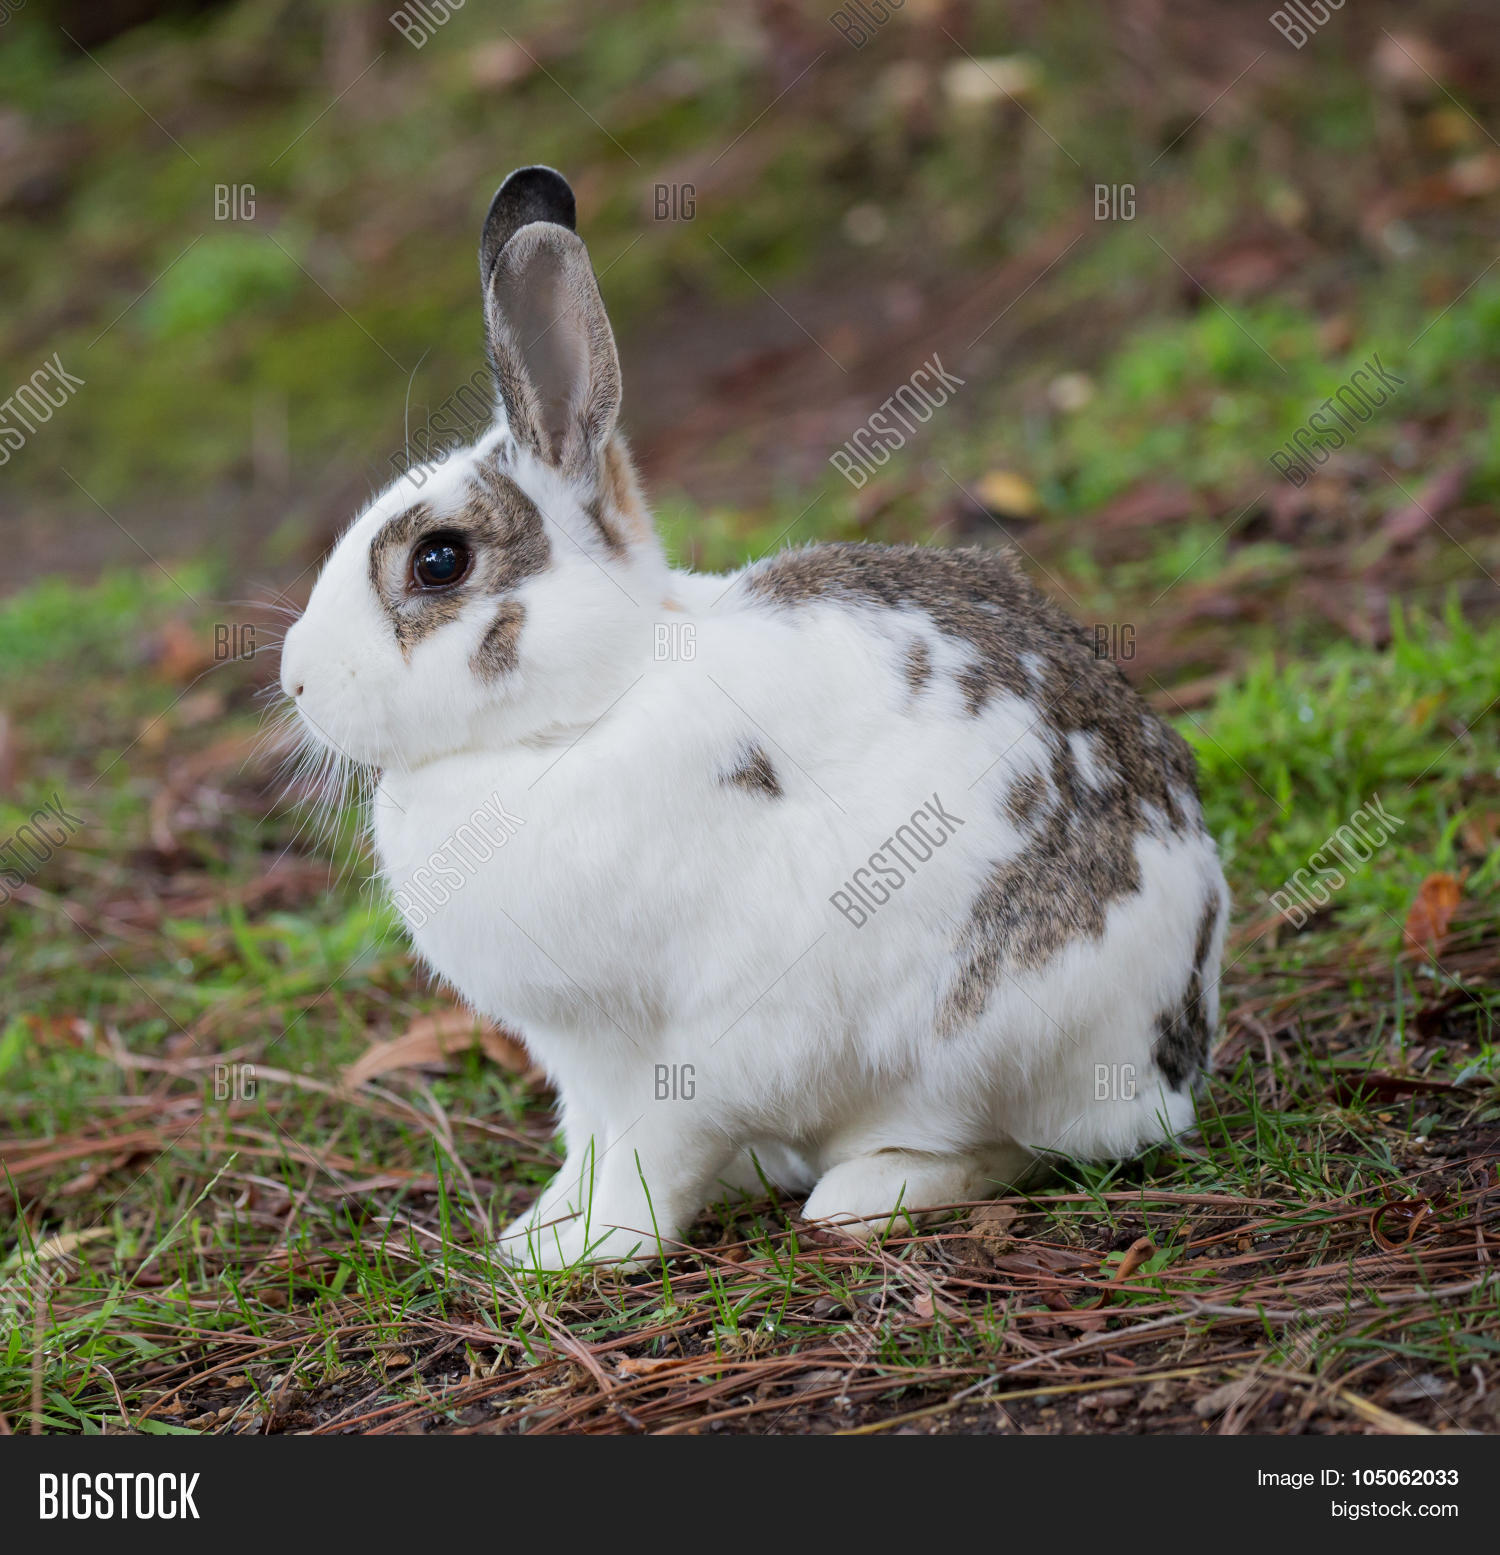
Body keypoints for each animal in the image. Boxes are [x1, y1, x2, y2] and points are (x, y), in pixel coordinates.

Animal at [279, 166, 1230, 1270]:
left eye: (439, 561)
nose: (296, 680)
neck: (588, 708)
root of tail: (1174, 1054)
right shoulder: (580, 1063)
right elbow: (584, 1144)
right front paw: (534, 1234)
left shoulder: (693, 1044)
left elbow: (652, 1152)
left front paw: (588, 1251)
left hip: (992, 1036)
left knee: (1004, 1145)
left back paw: (862, 1193)